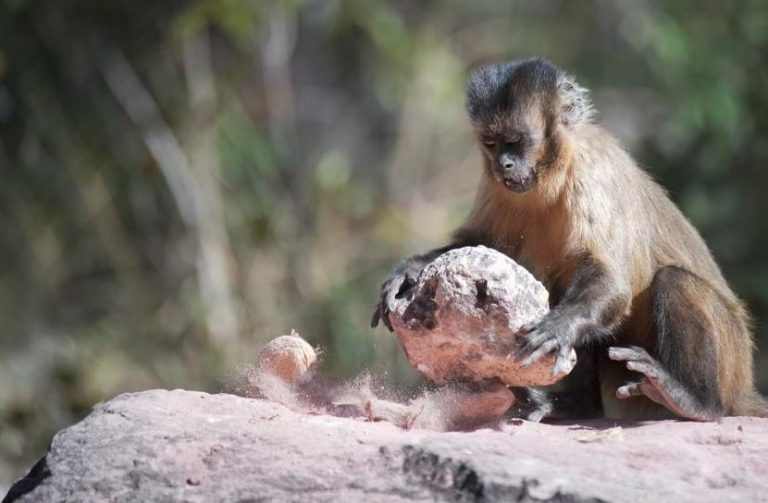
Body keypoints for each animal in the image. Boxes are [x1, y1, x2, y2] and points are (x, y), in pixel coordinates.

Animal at [371, 57, 768, 422]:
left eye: (516, 142)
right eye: (492, 144)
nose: (504, 165)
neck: (554, 171)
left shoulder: (591, 172)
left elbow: (611, 279)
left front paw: (559, 328)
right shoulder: (495, 184)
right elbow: (483, 244)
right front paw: (411, 270)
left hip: (733, 362)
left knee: (673, 281)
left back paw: (695, 401)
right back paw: (577, 407)